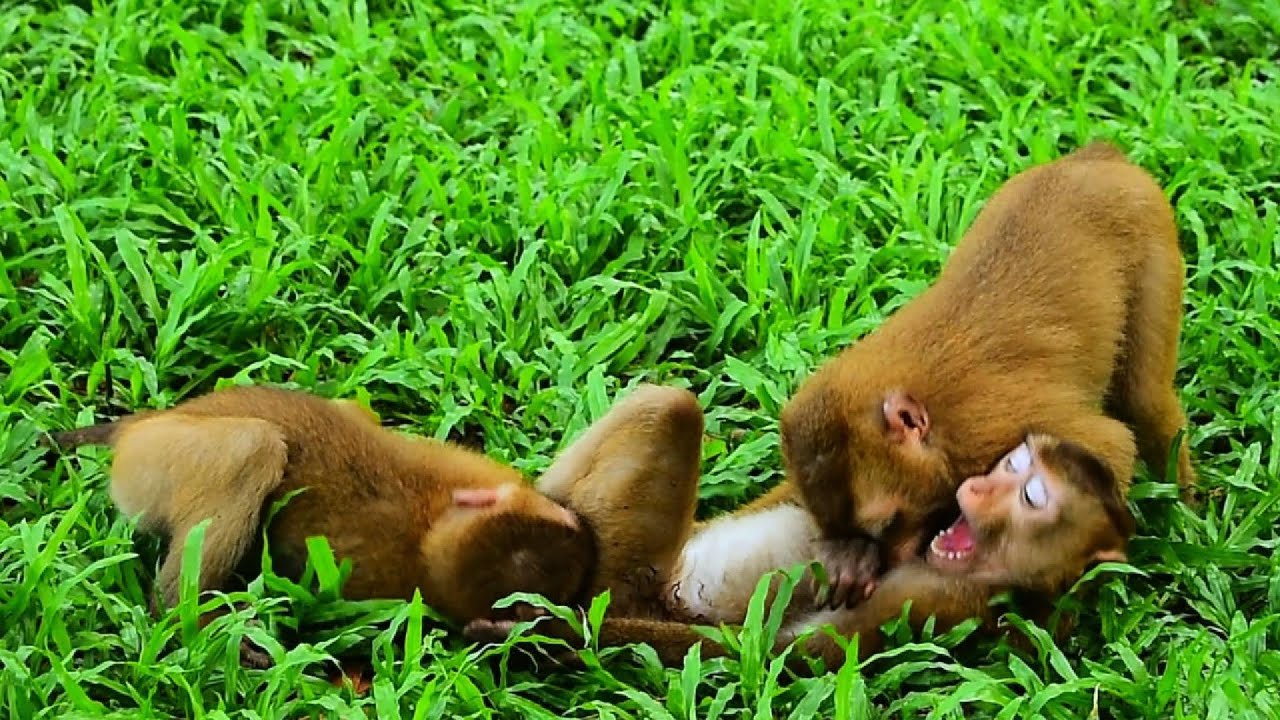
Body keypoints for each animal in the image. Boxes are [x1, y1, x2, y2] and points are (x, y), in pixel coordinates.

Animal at [46, 384, 598, 632]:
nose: (579, 527)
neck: (431, 527)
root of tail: (135, 429)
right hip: (150, 464)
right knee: (253, 447)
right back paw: (186, 615)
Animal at [465, 432, 1135, 673]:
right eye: (1012, 467)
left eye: (1029, 496)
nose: (974, 489)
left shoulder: (933, 603)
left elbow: (771, 651)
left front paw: (541, 631)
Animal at [762, 141, 1196, 608]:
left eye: (888, 524)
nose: (890, 561)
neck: (939, 427)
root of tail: (1095, 158)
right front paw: (845, 556)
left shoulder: (986, 428)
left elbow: (1109, 447)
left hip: (1150, 226)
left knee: (1145, 397)